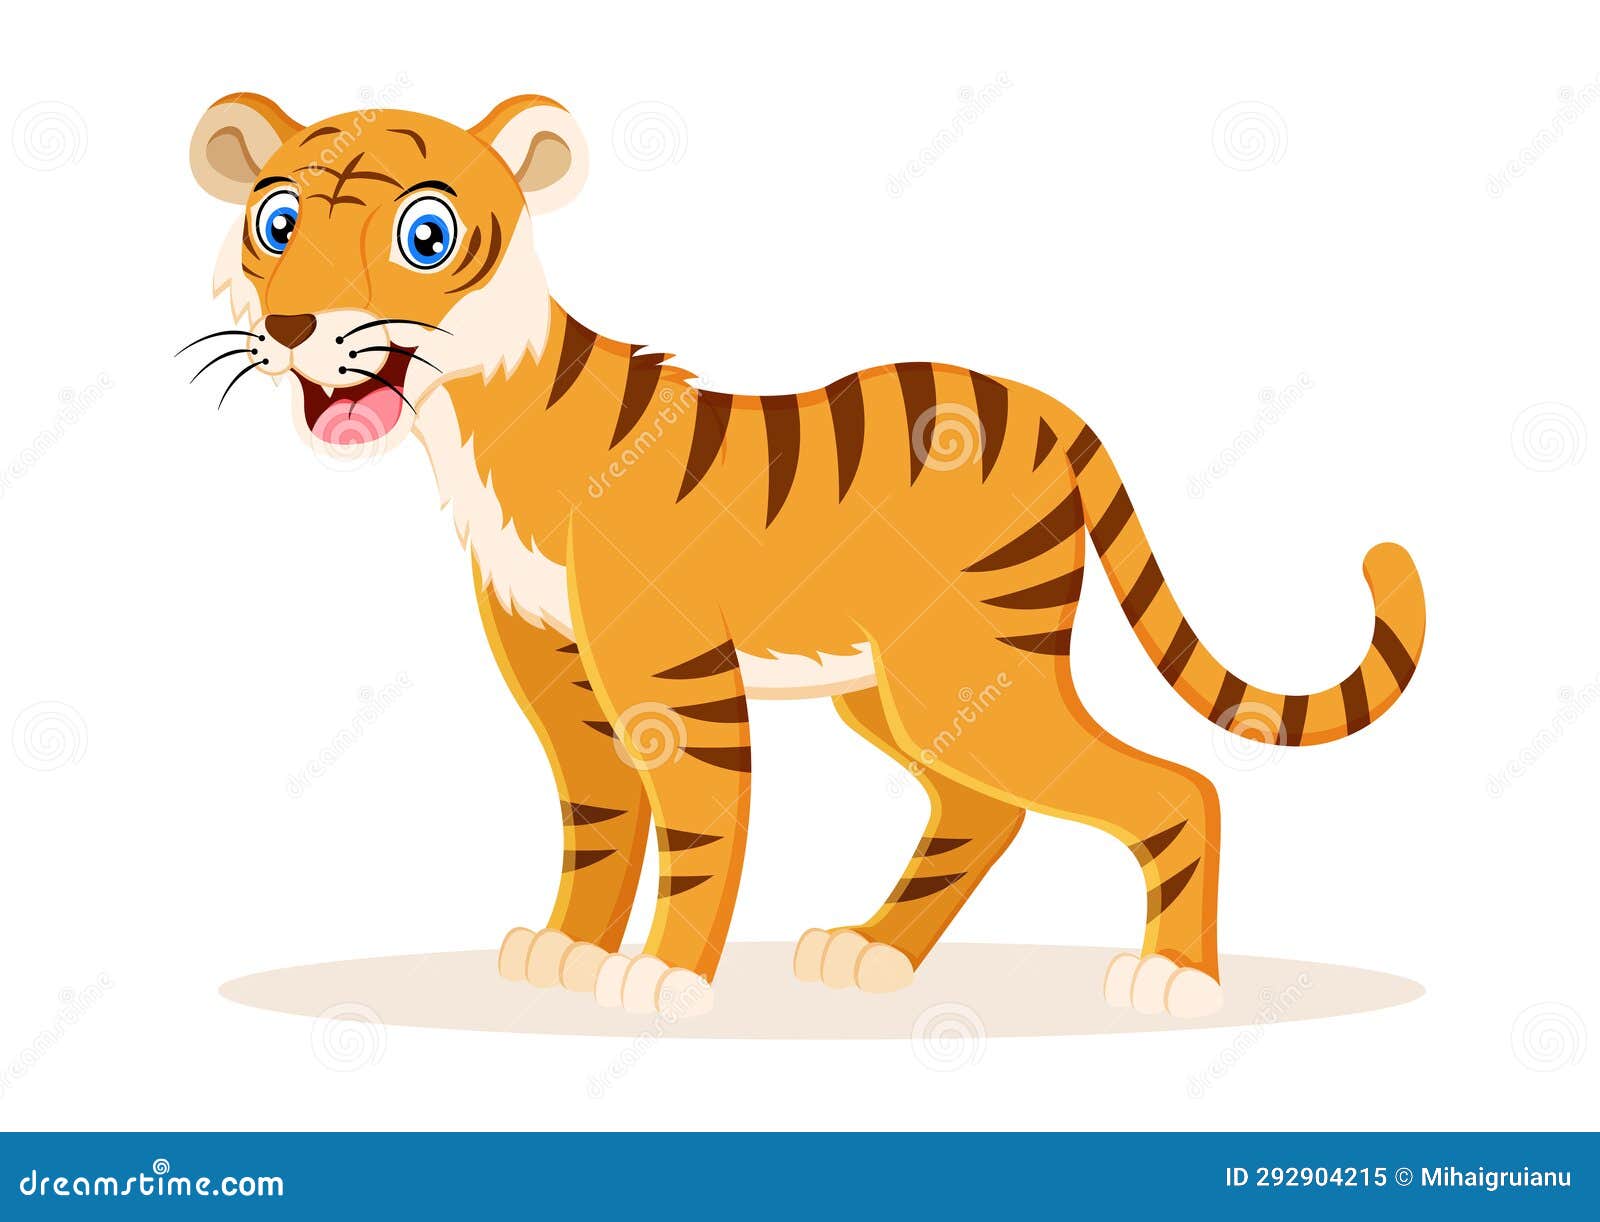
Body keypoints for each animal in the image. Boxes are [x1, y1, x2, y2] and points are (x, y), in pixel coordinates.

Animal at [186, 93, 1425, 1019]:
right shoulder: (553, 668)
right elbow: (597, 814)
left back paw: (1173, 977)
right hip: (903, 686)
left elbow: (695, 823)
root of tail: (1053, 409)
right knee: (983, 809)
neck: (477, 425)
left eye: (425, 237)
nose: (293, 326)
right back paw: (871, 953)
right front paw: (566, 950)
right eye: (276, 222)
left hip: (966, 671)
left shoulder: (668, 673)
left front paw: (663, 976)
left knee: (1178, 788)